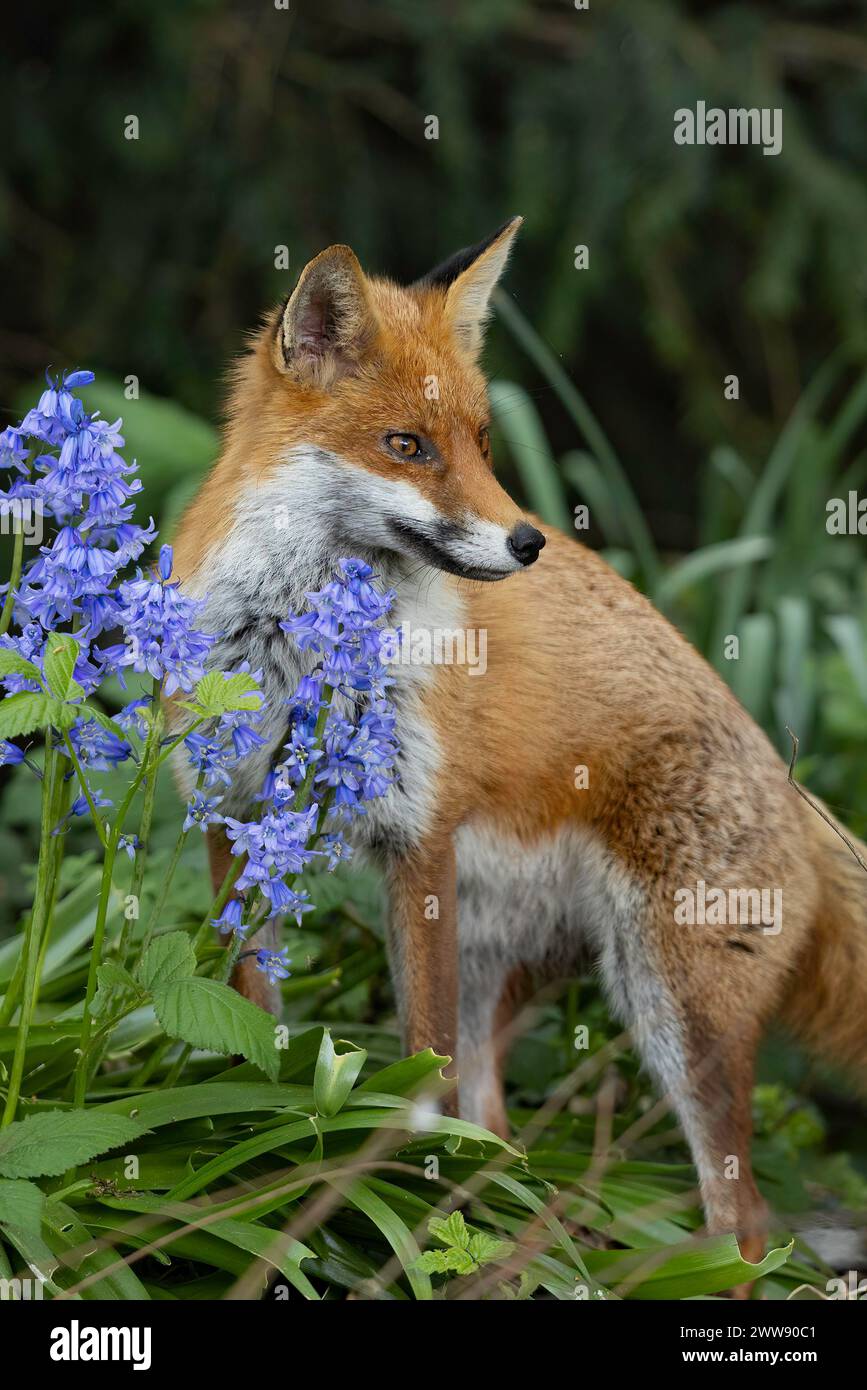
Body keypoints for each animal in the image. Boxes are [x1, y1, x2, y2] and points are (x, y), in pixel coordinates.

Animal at [173, 217, 867, 1282]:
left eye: (485, 444)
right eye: (407, 446)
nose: (529, 541)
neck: (301, 649)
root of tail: (792, 784)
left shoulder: (414, 835)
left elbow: (415, 1069)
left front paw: (385, 1175)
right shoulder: (236, 813)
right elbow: (247, 1003)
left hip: (673, 1010)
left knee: (740, 1223)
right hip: (507, 961)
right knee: (497, 1132)